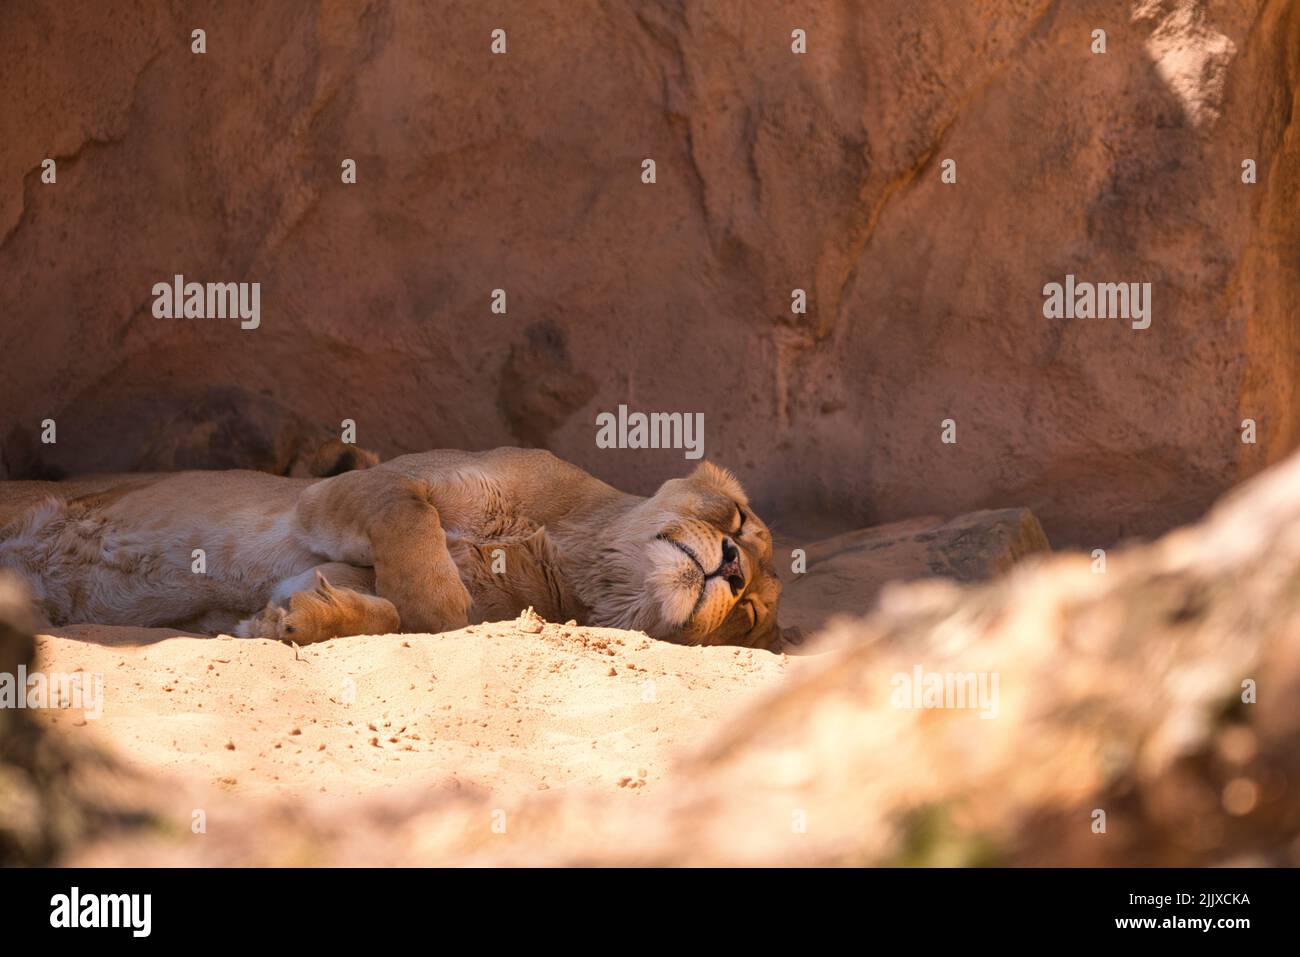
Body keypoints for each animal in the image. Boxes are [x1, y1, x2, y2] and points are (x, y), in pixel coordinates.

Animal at [0, 448, 783, 649]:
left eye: (747, 617)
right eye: (740, 519)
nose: (734, 568)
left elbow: (388, 612)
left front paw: (290, 622)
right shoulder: (350, 489)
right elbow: (430, 584)